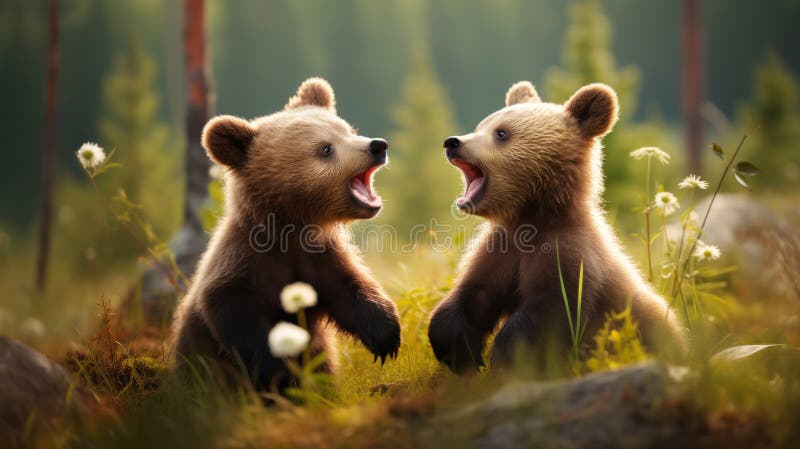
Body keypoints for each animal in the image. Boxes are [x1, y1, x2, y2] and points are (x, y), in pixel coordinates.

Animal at [171, 78, 401, 392]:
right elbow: (238, 317)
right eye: (325, 148)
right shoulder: (243, 264)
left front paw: (385, 334)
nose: (377, 146)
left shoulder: (320, 260)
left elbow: (351, 289)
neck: (291, 228)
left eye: (348, 131)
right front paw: (279, 372)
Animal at [428, 81, 687, 374]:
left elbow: (548, 311)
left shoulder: (569, 254)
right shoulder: (499, 250)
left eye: (501, 133)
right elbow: (472, 295)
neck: (532, 217)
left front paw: (507, 358)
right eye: (481, 124)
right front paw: (462, 353)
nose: (453, 142)